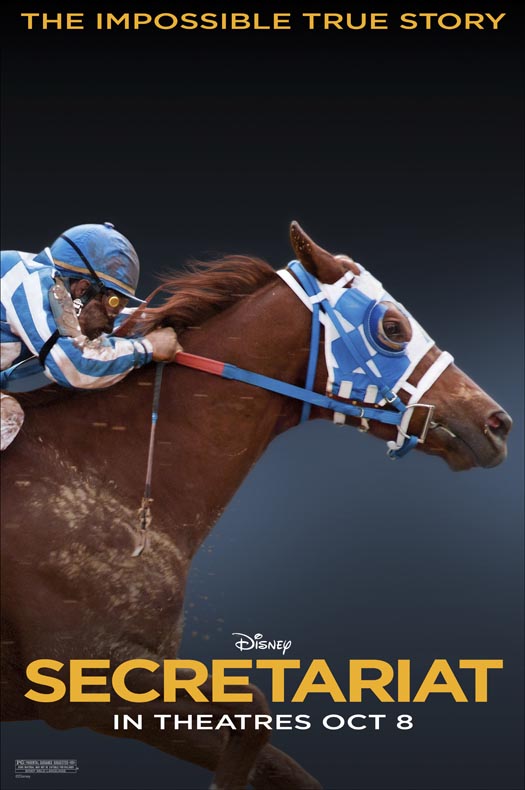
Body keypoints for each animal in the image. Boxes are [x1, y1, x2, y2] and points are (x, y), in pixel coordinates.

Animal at [1, 222, 512, 790]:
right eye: (393, 328)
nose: (497, 422)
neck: (104, 474)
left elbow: (274, 754)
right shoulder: (87, 681)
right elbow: (254, 715)